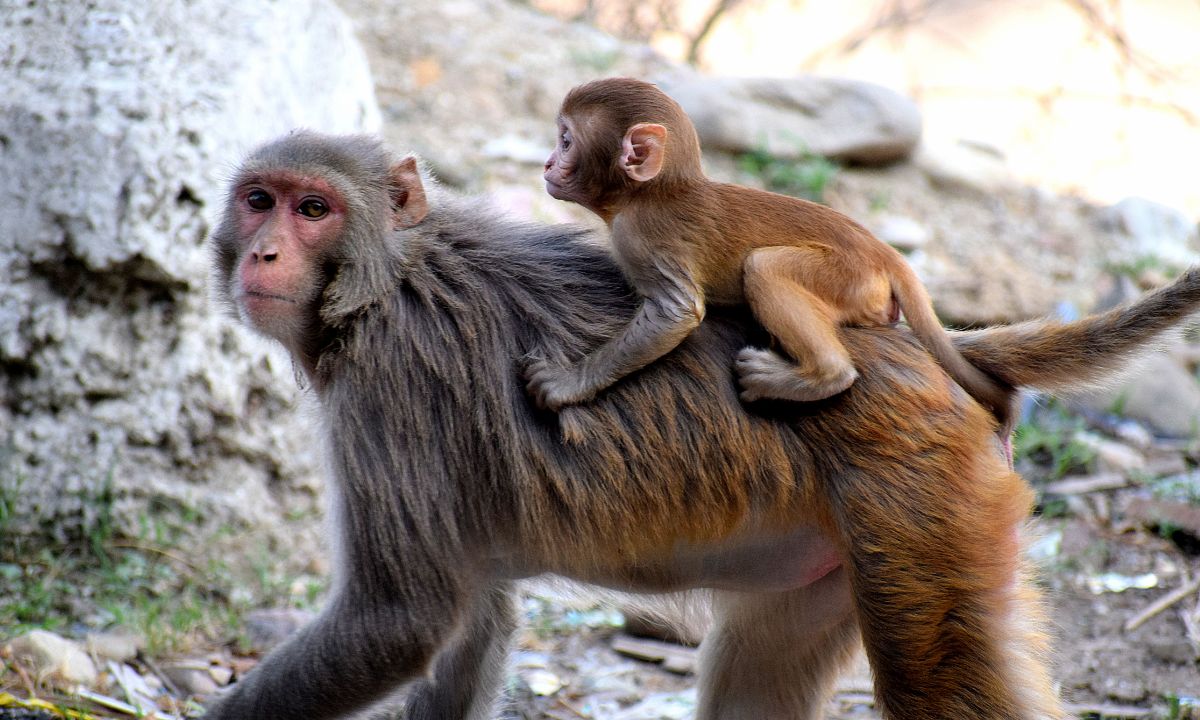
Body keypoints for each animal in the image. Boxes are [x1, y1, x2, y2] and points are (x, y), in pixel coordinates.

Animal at [204, 129, 1200, 720]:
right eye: (259, 199)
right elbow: (468, 622)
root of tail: (920, 347)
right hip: (855, 547)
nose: (264, 253)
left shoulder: (389, 392)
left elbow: (401, 620)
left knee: (931, 678)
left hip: (925, 504)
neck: (383, 284)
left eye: (314, 208)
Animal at [527, 76, 1014, 434]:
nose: (548, 164)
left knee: (765, 267)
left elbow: (676, 313)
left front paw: (569, 383)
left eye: (566, 140)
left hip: (847, 277)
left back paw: (819, 376)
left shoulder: (641, 235)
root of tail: (883, 253)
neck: (649, 193)